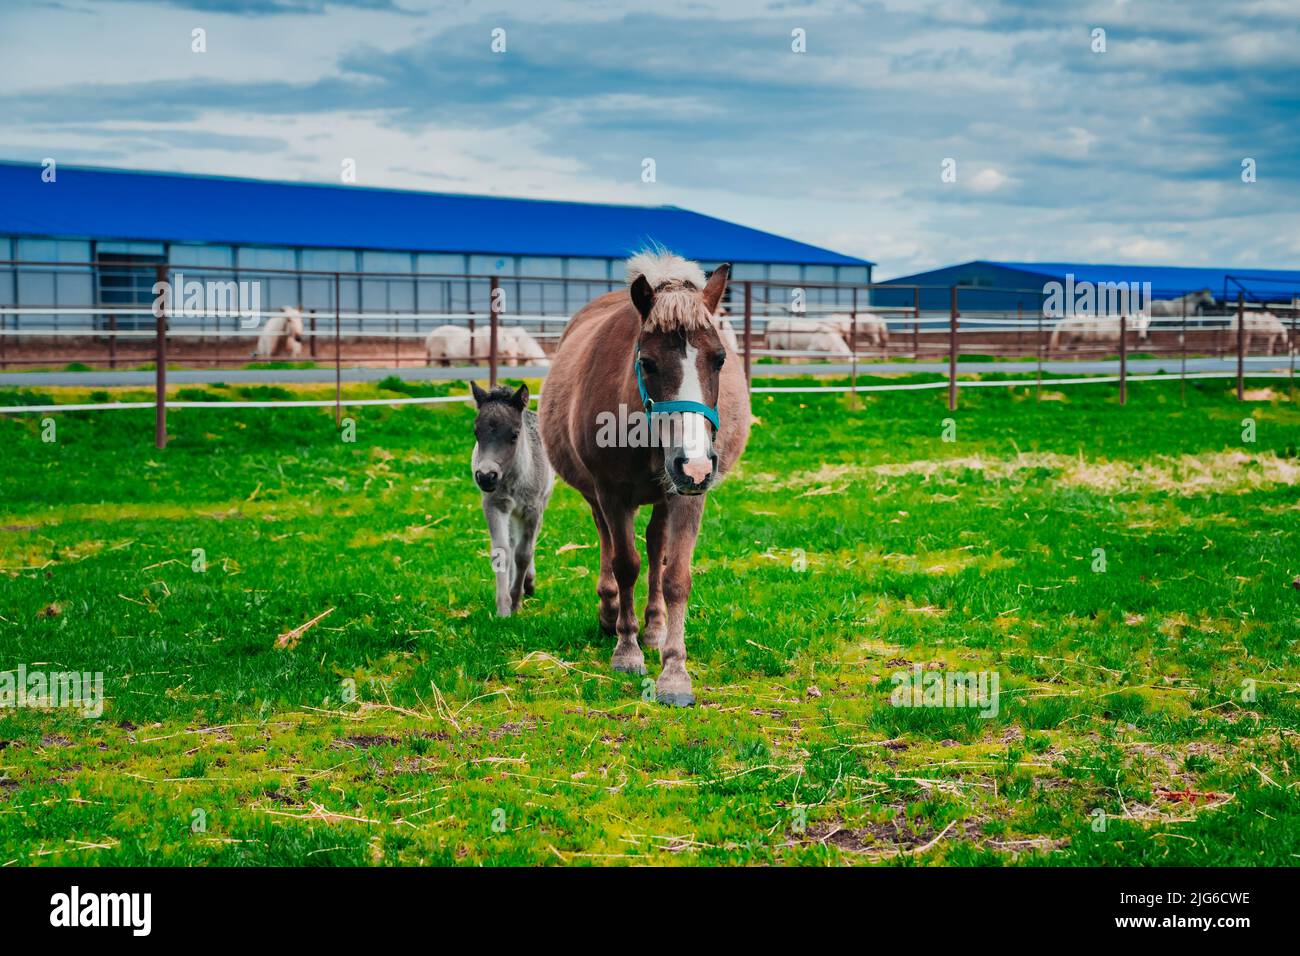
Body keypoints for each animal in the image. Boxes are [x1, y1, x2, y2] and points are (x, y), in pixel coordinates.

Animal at [470, 382, 555, 616]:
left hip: (540, 503)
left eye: (514, 435)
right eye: (476, 432)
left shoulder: (532, 509)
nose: (486, 476)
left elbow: (523, 554)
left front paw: (516, 602)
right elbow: (502, 551)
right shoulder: (494, 505)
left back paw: (529, 582)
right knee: (512, 542)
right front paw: (503, 608)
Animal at [539, 251, 752, 706]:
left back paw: (654, 626)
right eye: (647, 363)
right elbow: (625, 565)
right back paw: (611, 612)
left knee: (656, 547)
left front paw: (674, 671)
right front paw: (626, 650)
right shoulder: (612, 492)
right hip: (600, 495)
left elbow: (675, 576)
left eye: (719, 359)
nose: (694, 465)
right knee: (608, 540)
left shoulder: (688, 496)